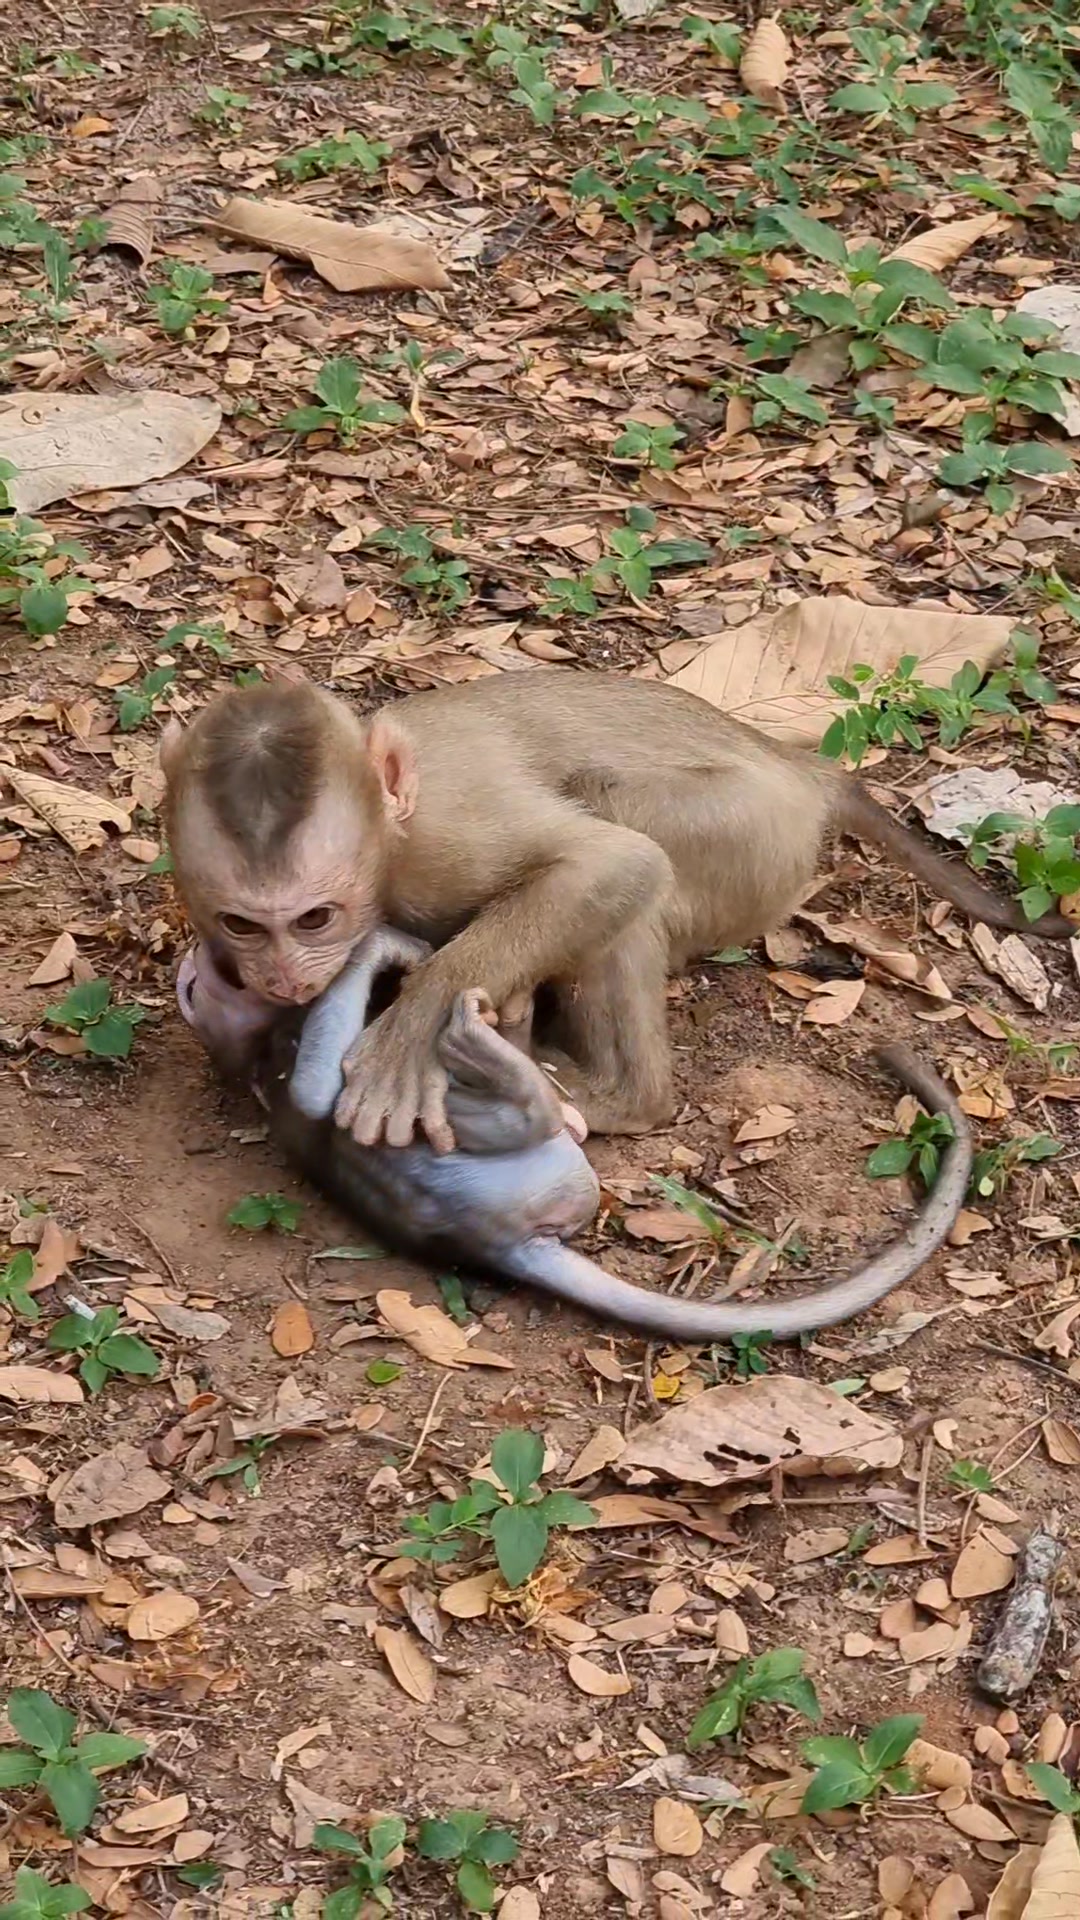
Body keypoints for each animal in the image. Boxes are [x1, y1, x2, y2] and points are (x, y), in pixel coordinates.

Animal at [161, 671, 1073, 1155]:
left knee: (626, 832)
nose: (284, 975)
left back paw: (615, 1097)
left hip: (755, 837)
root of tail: (802, 771)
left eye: (315, 918)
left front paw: (413, 1030)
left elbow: (616, 863)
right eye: (244, 925)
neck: (389, 843)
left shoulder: (446, 839)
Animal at [176, 925, 973, 1342]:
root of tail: (505, 1242)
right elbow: (315, 1093)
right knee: (509, 1115)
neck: (254, 1045)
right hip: (515, 1155)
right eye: (205, 984)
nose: (201, 957)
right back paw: (489, 1051)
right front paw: (385, 946)